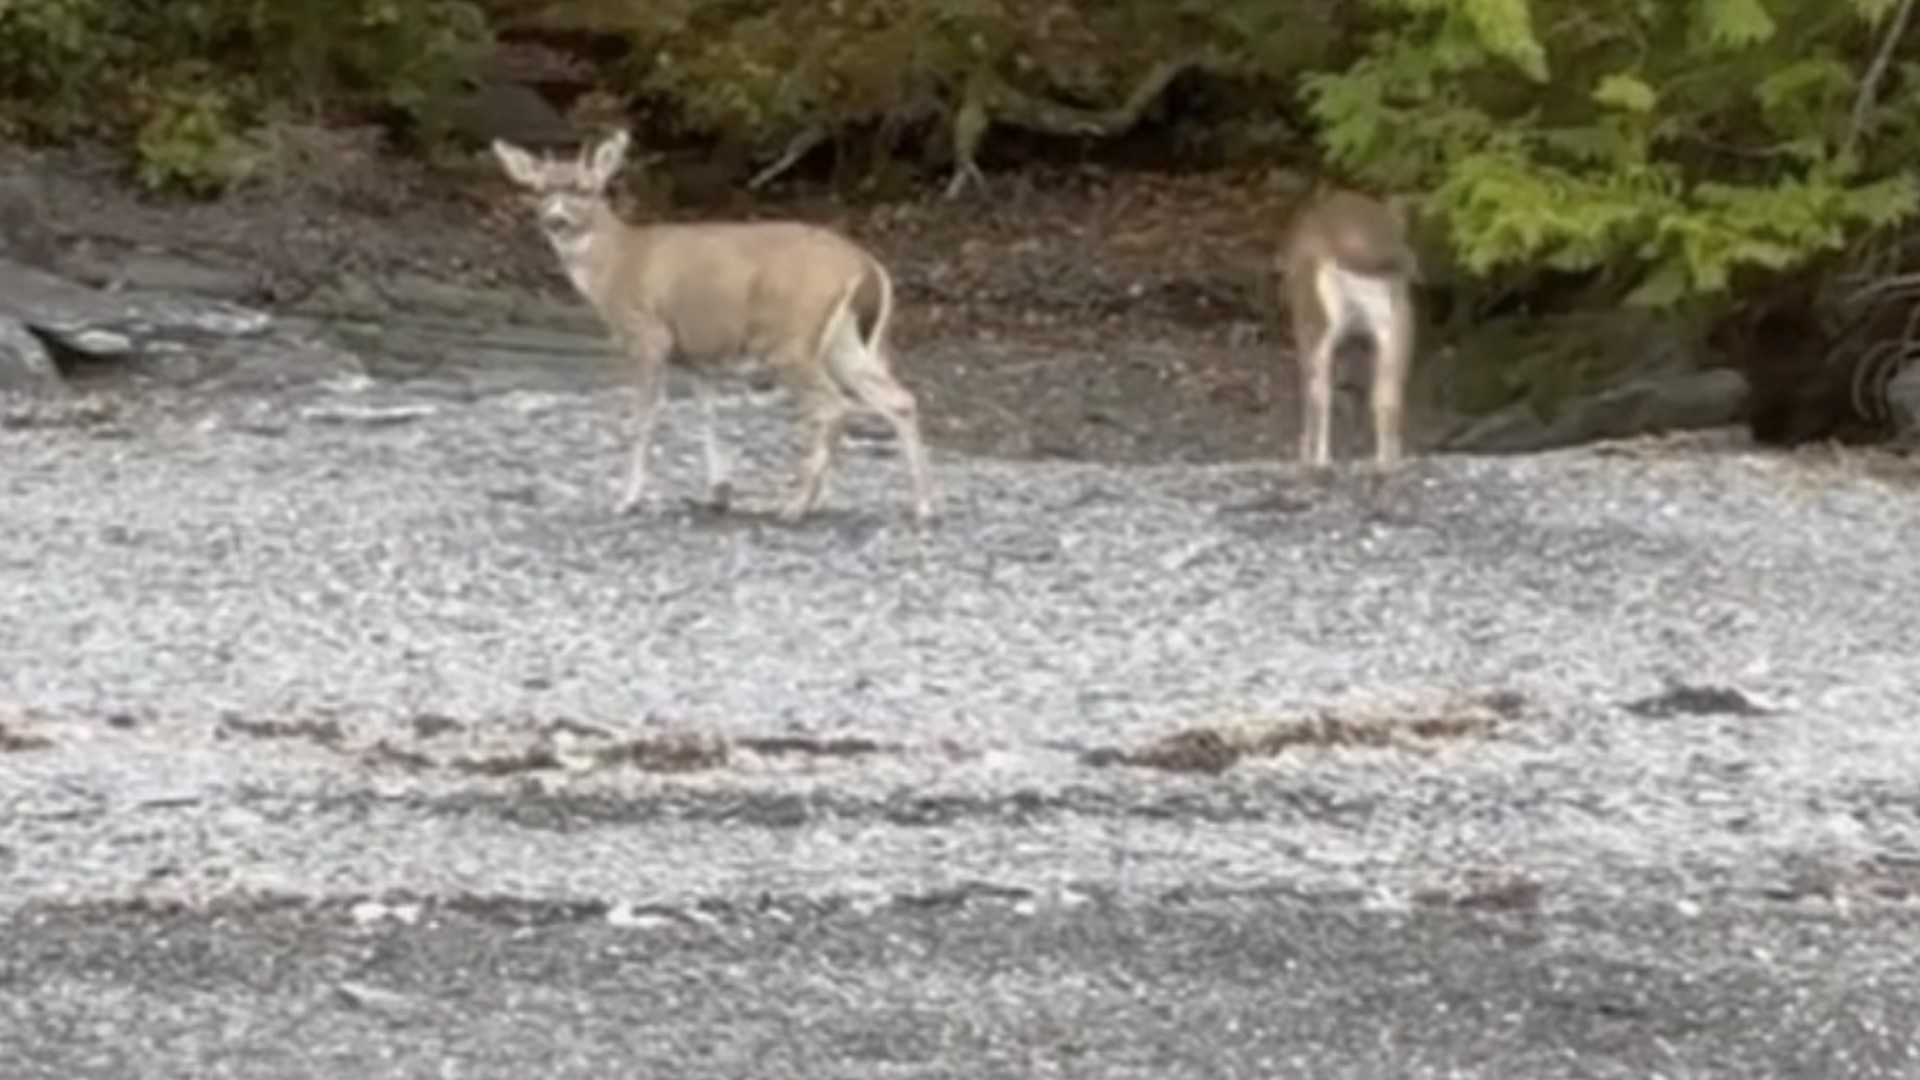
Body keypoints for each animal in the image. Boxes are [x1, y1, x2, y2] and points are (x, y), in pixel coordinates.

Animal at [489, 128, 936, 524]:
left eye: (584, 189)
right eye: (539, 190)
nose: (556, 220)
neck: (615, 264)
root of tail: (868, 267)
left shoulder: (648, 335)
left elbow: (643, 418)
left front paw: (628, 499)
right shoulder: (698, 356)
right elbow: (708, 414)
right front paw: (719, 491)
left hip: (789, 340)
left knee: (832, 406)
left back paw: (796, 506)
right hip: (845, 344)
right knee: (900, 399)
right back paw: (921, 505)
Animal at [1277, 187, 1420, 472]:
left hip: (1316, 322)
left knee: (1320, 394)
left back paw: (1318, 461)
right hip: (1396, 321)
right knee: (1386, 395)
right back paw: (1386, 462)